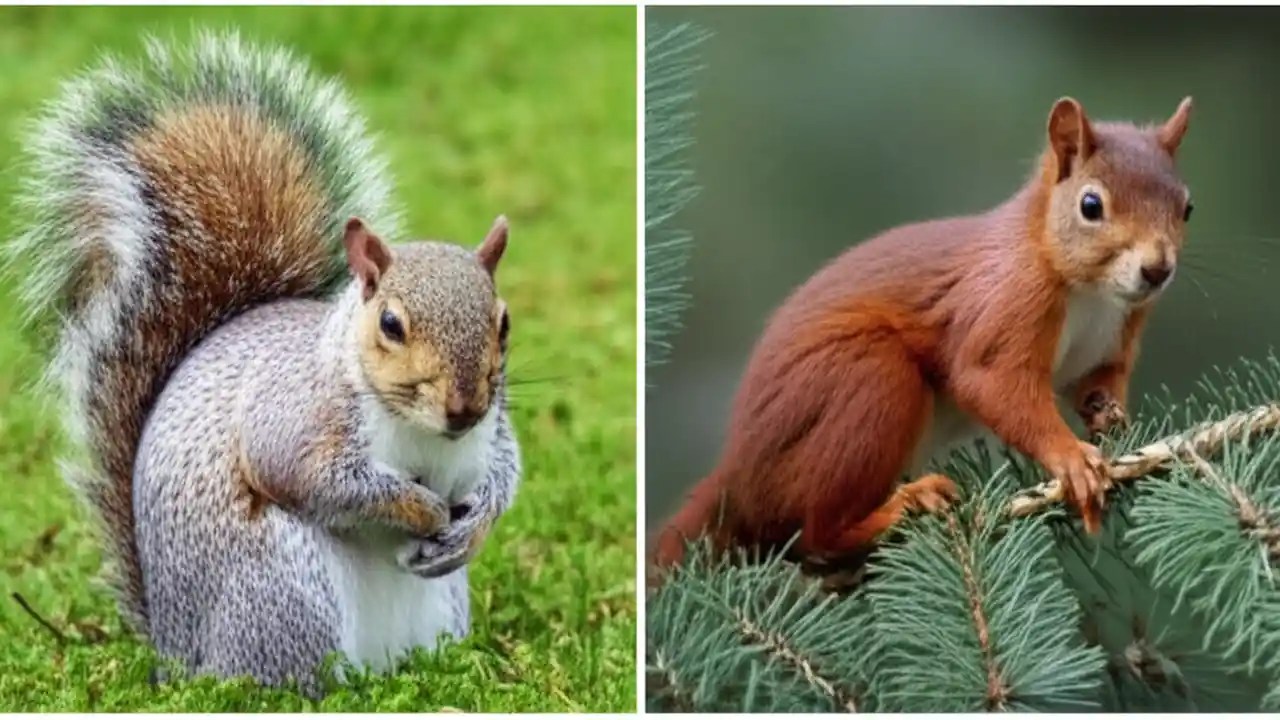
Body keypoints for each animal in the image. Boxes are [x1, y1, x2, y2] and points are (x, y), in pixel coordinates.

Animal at [6, 33, 521, 688]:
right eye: (391, 325)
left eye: (503, 322)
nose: (464, 409)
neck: (416, 427)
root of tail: (178, 657)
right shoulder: (295, 412)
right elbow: (306, 474)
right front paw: (421, 507)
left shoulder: (492, 433)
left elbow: (505, 474)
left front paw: (472, 527)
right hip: (282, 595)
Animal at [652, 96, 1194, 572]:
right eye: (1090, 205)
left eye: (1187, 207)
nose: (1157, 270)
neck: (1092, 292)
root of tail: (737, 474)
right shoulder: (1005, 303)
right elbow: (991, 382)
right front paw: (1072, 459)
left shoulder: (1114, 341)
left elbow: (1098, 386)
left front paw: (1113, 422)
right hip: (869, 380)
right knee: (816, 533)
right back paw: (904, 505)